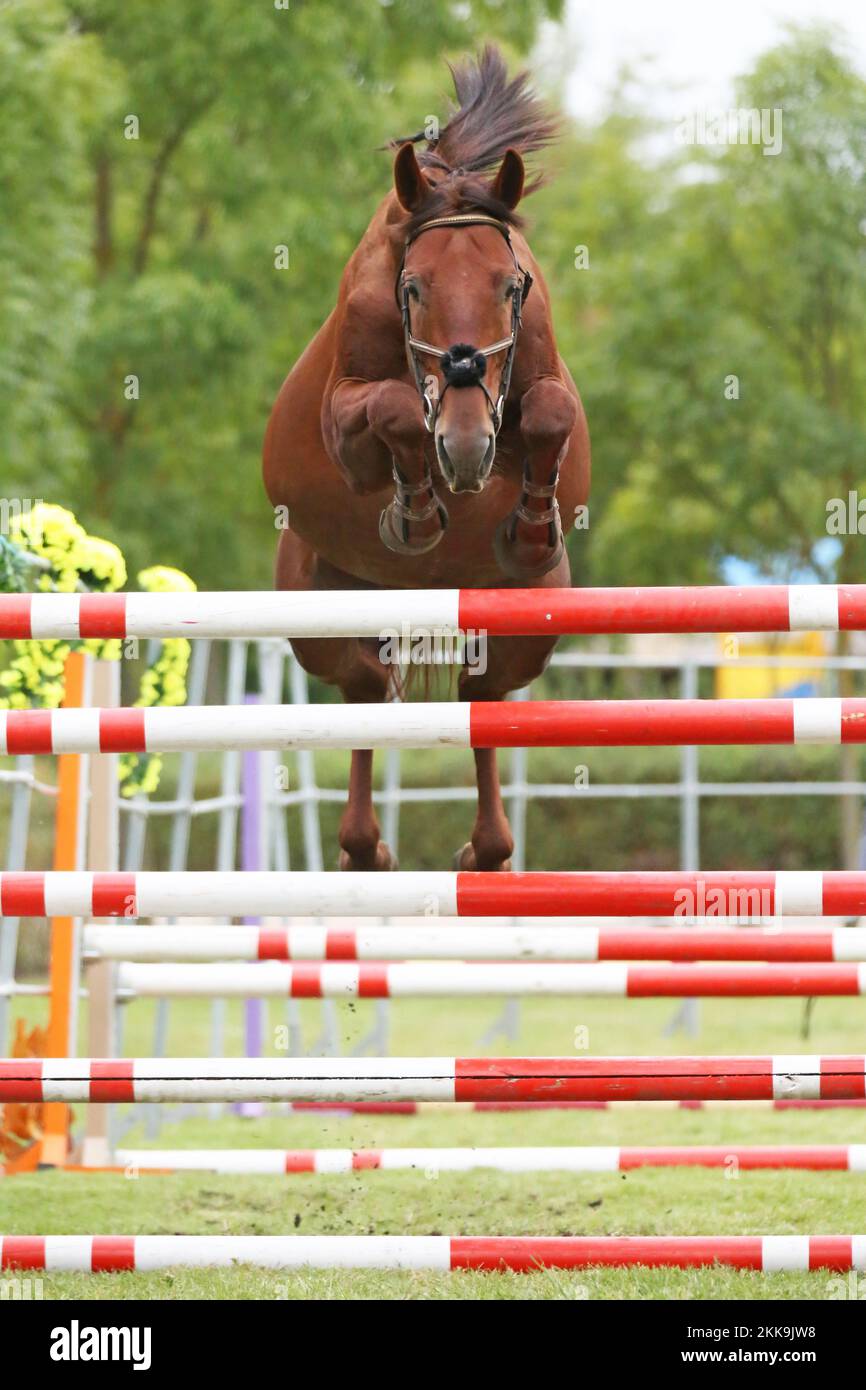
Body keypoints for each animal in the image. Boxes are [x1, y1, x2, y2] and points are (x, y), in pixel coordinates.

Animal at [263, 46, 590, 873]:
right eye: (413, 288)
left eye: (512, 287)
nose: (468, 447)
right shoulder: (348, 414)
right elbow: (394, 407)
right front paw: (413, 513)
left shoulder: (545, 384)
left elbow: (550, 411)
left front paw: (528, 525)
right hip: (319, 619)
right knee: (365, 692)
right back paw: (364, 849)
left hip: (527, 624)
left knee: (482, 698)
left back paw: (487, 851)